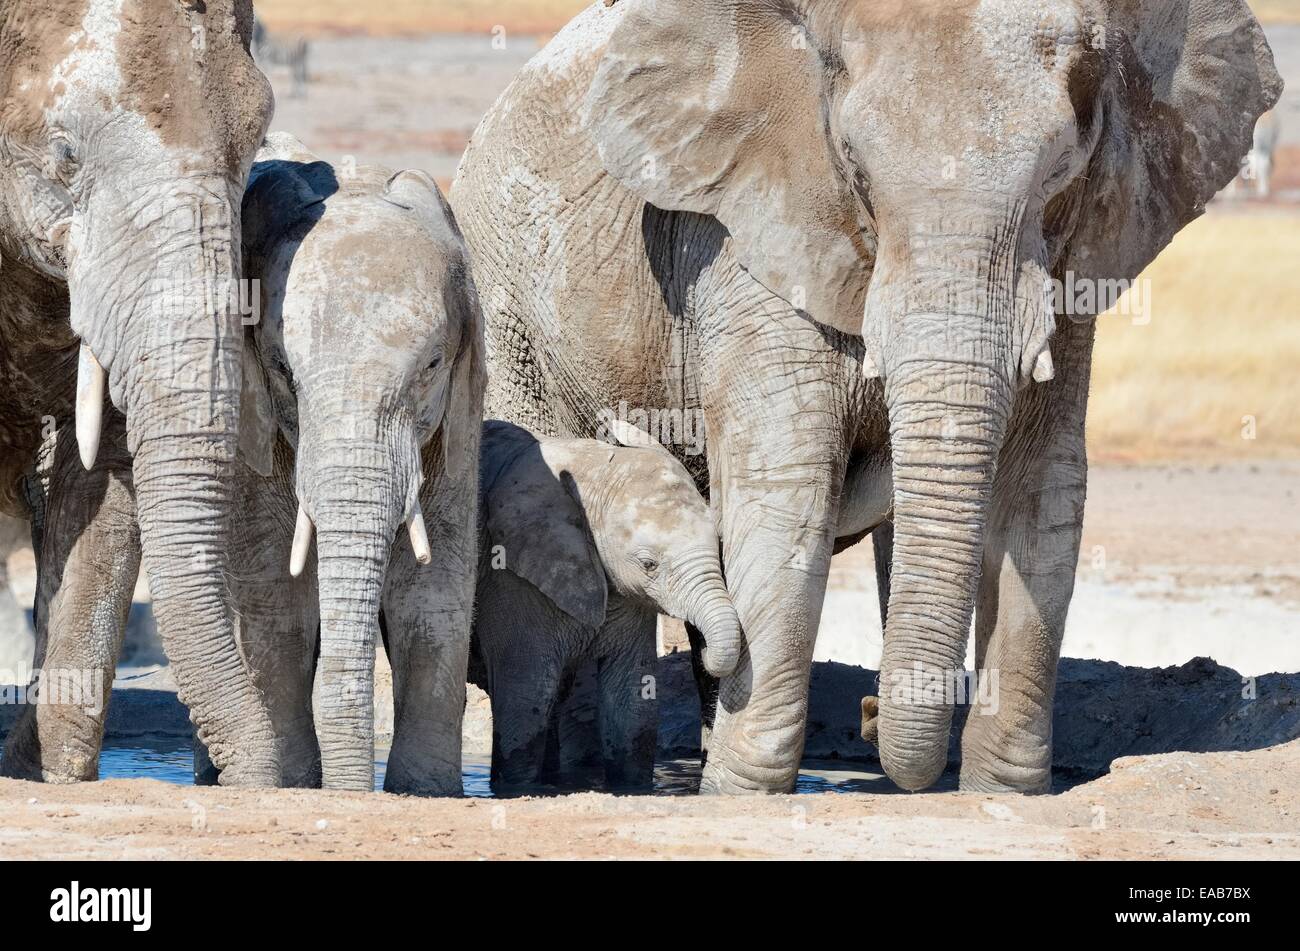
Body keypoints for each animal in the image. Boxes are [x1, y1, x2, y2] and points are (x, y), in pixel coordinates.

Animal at [470, 419, 740, 791]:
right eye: (649, 564)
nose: (701, 652)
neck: (596, 470)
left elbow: (630, 695)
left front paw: (633, 789)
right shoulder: (510, 573)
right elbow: (525, 692)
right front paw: (515, 790)